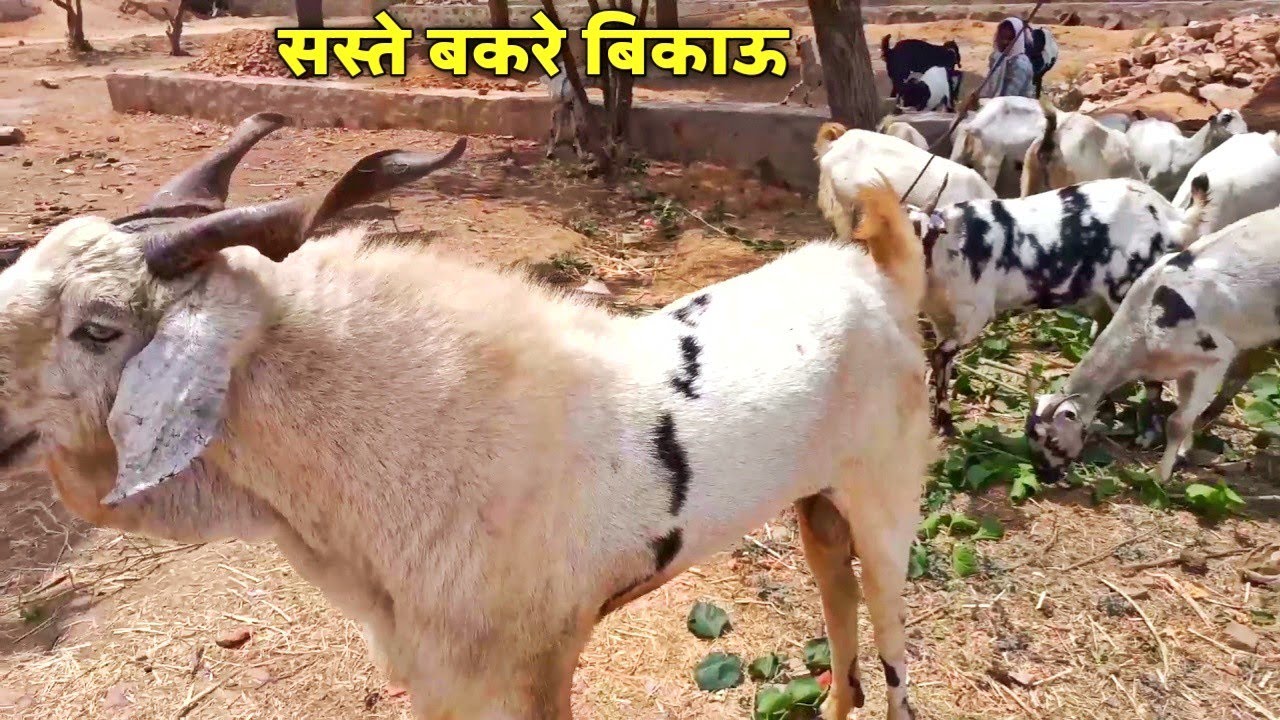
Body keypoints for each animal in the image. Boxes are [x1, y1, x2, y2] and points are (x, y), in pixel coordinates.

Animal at [0, 113, 934, 720]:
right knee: (839, 619)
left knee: (892, 658)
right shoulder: (438, 676)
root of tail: (876, 269)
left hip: (887, 512)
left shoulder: (521, 676)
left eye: (98, 326)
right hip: (818, 509)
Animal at [912, 176, 1211, 433]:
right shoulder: (942, 320)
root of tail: (1171, 217)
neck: (950, 244)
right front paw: (942, 418)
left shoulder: (974, 315)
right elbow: (944, 363)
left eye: (921, 235)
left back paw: (1150, 429)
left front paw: (946, 423)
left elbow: (938, 356)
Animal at [1028, 207, 1280, 483]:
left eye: (1052, 441)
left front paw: (1160, 475)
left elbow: (1177, 422)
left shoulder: (1215, 358)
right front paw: (1182, 453)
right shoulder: (1185, 368)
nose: (1045, 475)